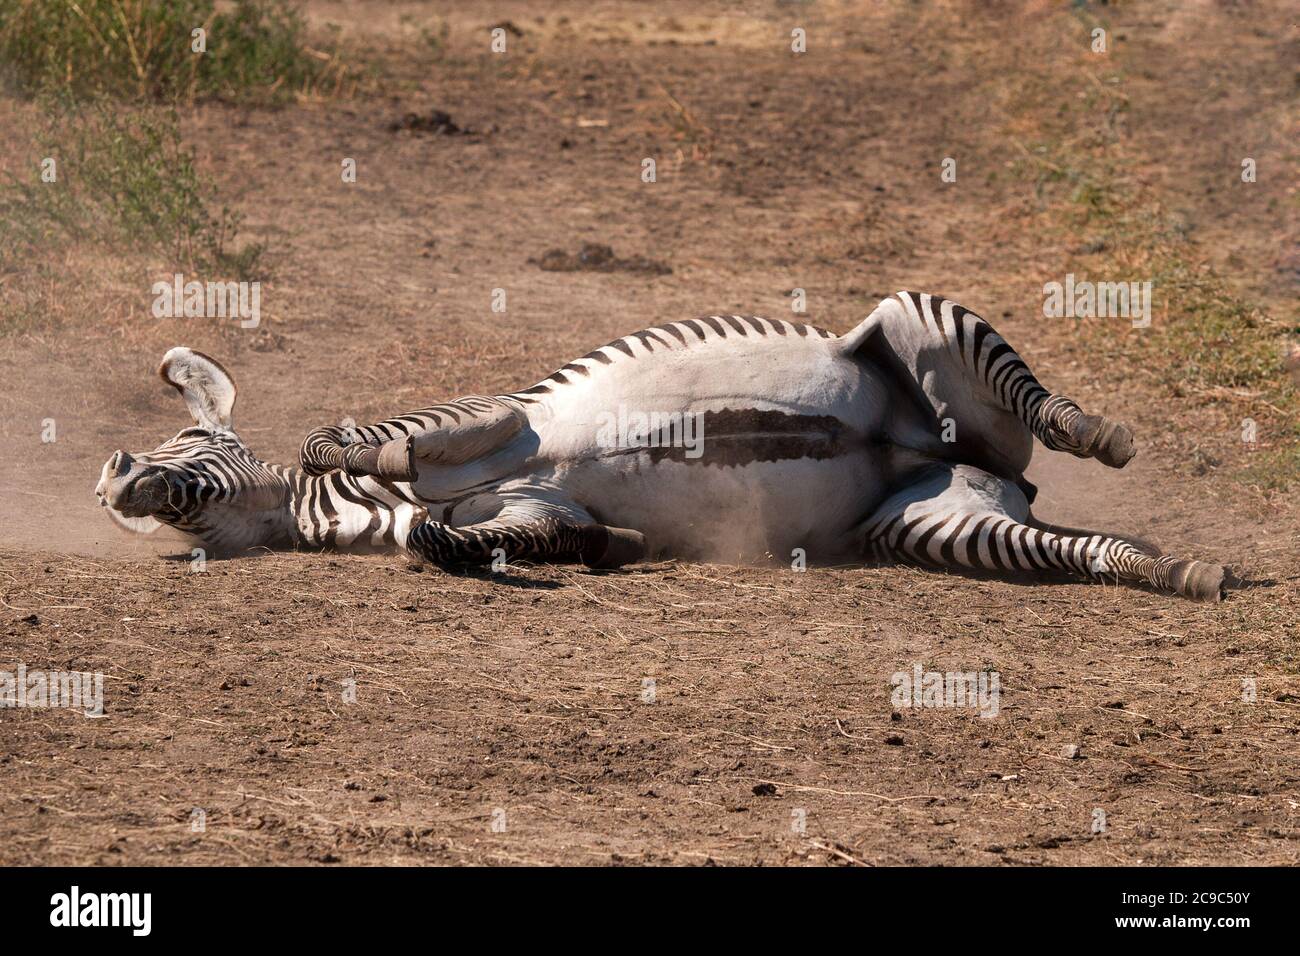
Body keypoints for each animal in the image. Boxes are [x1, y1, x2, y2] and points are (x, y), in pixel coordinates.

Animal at [96, 292, 1226, 601]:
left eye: (187, 433)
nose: (112, 474)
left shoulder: (493, 413)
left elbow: (371, 442)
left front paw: (359, 459)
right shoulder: (544, 512)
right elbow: (466, 540)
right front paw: (616, 548)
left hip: (916, 322)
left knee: (1052, 413)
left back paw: (1106, 432)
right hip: (936, 523)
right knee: (1081, 549)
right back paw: (1188, 571)